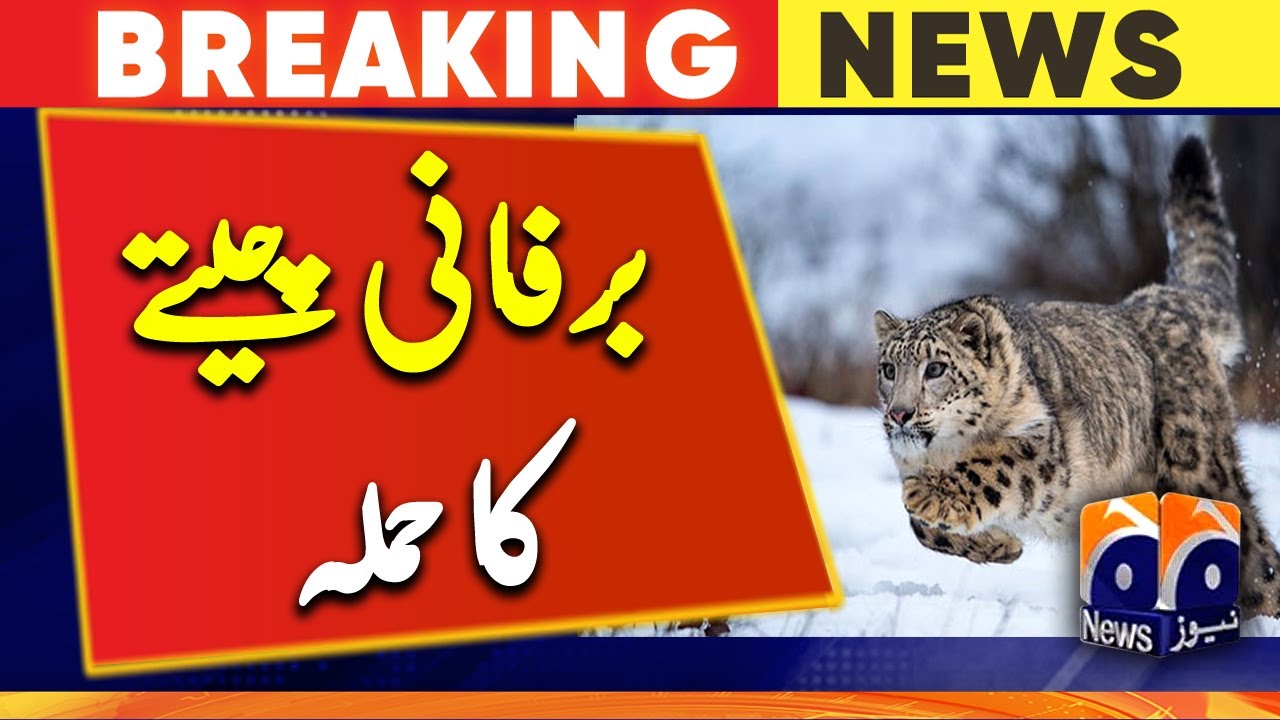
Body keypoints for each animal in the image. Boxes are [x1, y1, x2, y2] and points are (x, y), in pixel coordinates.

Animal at [873, 135, 1280, 618]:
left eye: (935, 368)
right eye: (888, 369)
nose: (899, 414)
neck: (940, 452)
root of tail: (1160, 297)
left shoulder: (1042, 447)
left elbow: (988, 465)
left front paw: (929, 495)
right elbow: (919, 526)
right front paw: (999, 545)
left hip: (1198, 467)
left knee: (1257, 559)